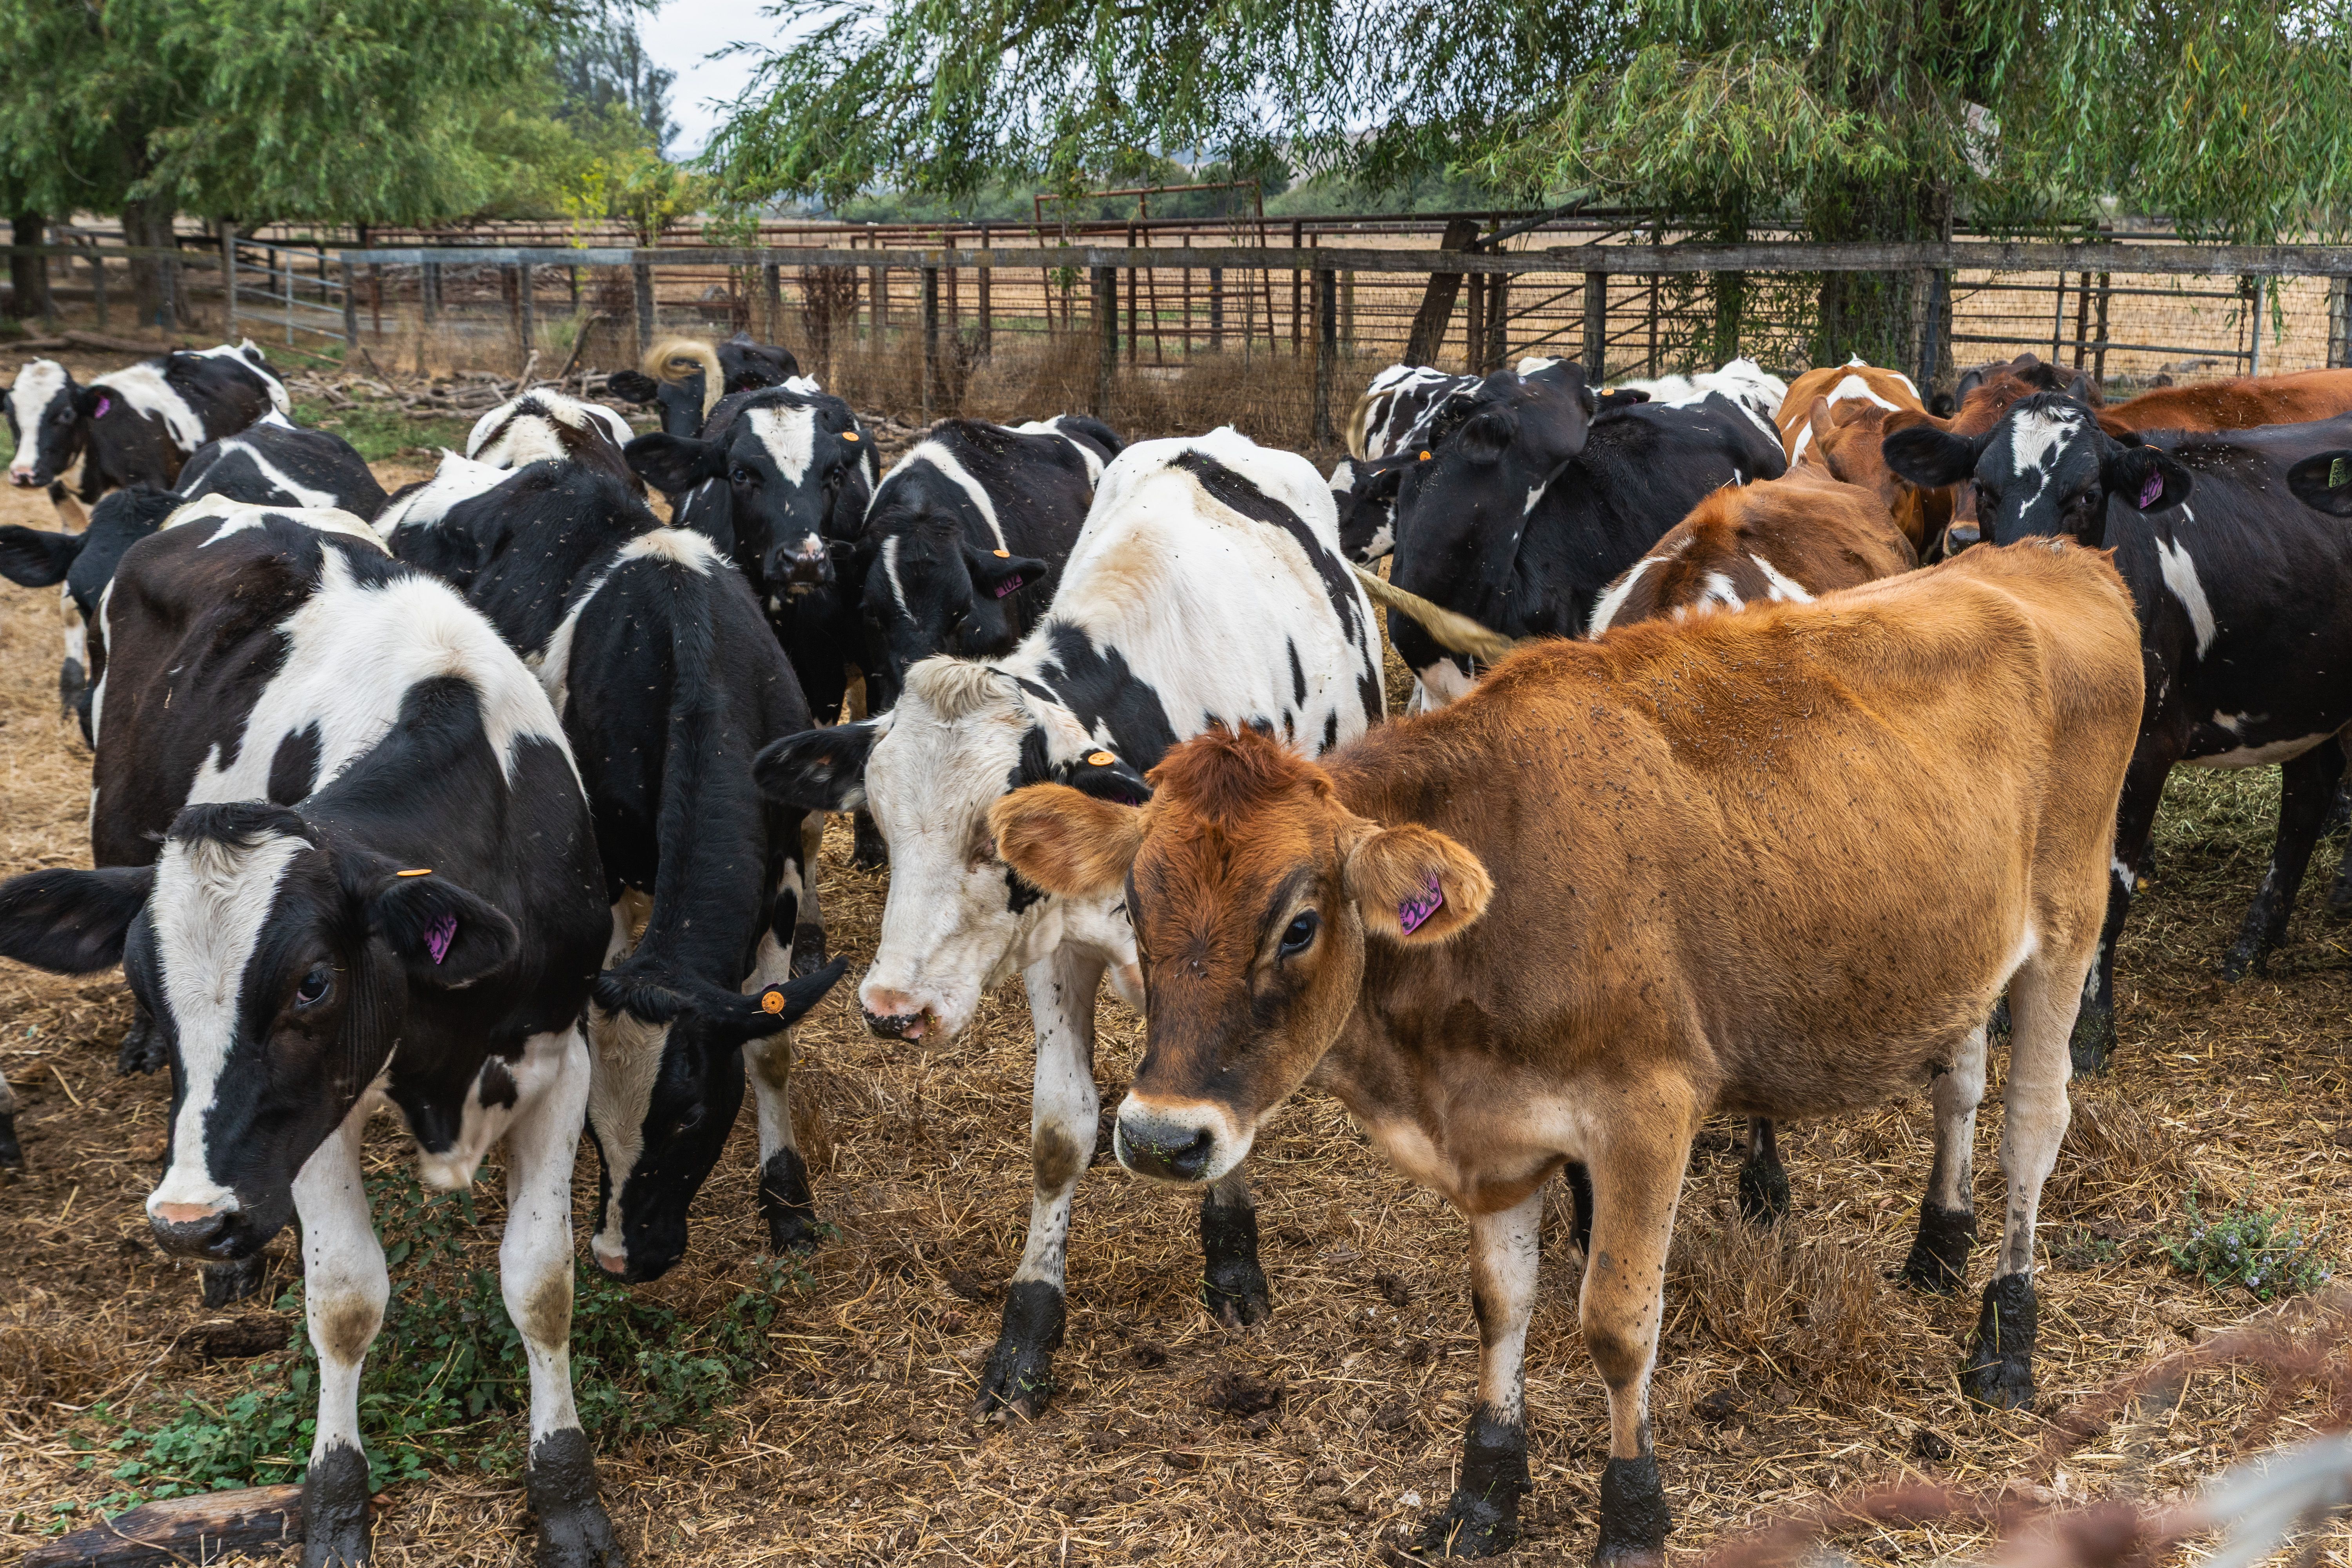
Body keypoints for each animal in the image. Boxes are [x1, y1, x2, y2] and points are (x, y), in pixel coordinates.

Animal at [0, 500, 630, 1566]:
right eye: (144, 984)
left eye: (314, 982)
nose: (185, 1222)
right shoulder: (321, 1111)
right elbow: (344, 1300)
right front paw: (335, 1500)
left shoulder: (558, 1057)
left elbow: (541, 1282)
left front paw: (566, 1495)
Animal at [379, 460, 849, 1280]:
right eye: (595, 1127)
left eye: (690, 1117)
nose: (620, 1257)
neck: (693, 650)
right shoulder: (609, 866)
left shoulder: (786, 866)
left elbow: (770, 1044)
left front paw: (788, 1204)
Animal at [989, 540, 2143, 1560]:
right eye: (1136, 908)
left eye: (1300, 925)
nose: (1162, 1138)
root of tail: (2053, 556)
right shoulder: (1497, 1132)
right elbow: (1501, 1306)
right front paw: (1486, 1489)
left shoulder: (1648, 1114)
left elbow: (1617, 1324)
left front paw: (1632, 1512)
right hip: (1959, 950)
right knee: (1959, 1082)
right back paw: (1937, 1248)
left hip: (2066, 929)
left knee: (2032, 1126)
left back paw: (2006, 1340)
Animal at [1886, 396, 2352, 1070]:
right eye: (1984, 488)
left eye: (2086, 495)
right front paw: (2004, 1017)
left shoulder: (2145, 750)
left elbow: (2112, 885)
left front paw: (2089, 1030)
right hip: (2301, 695)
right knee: (2309, 793)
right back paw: (2252, 949)